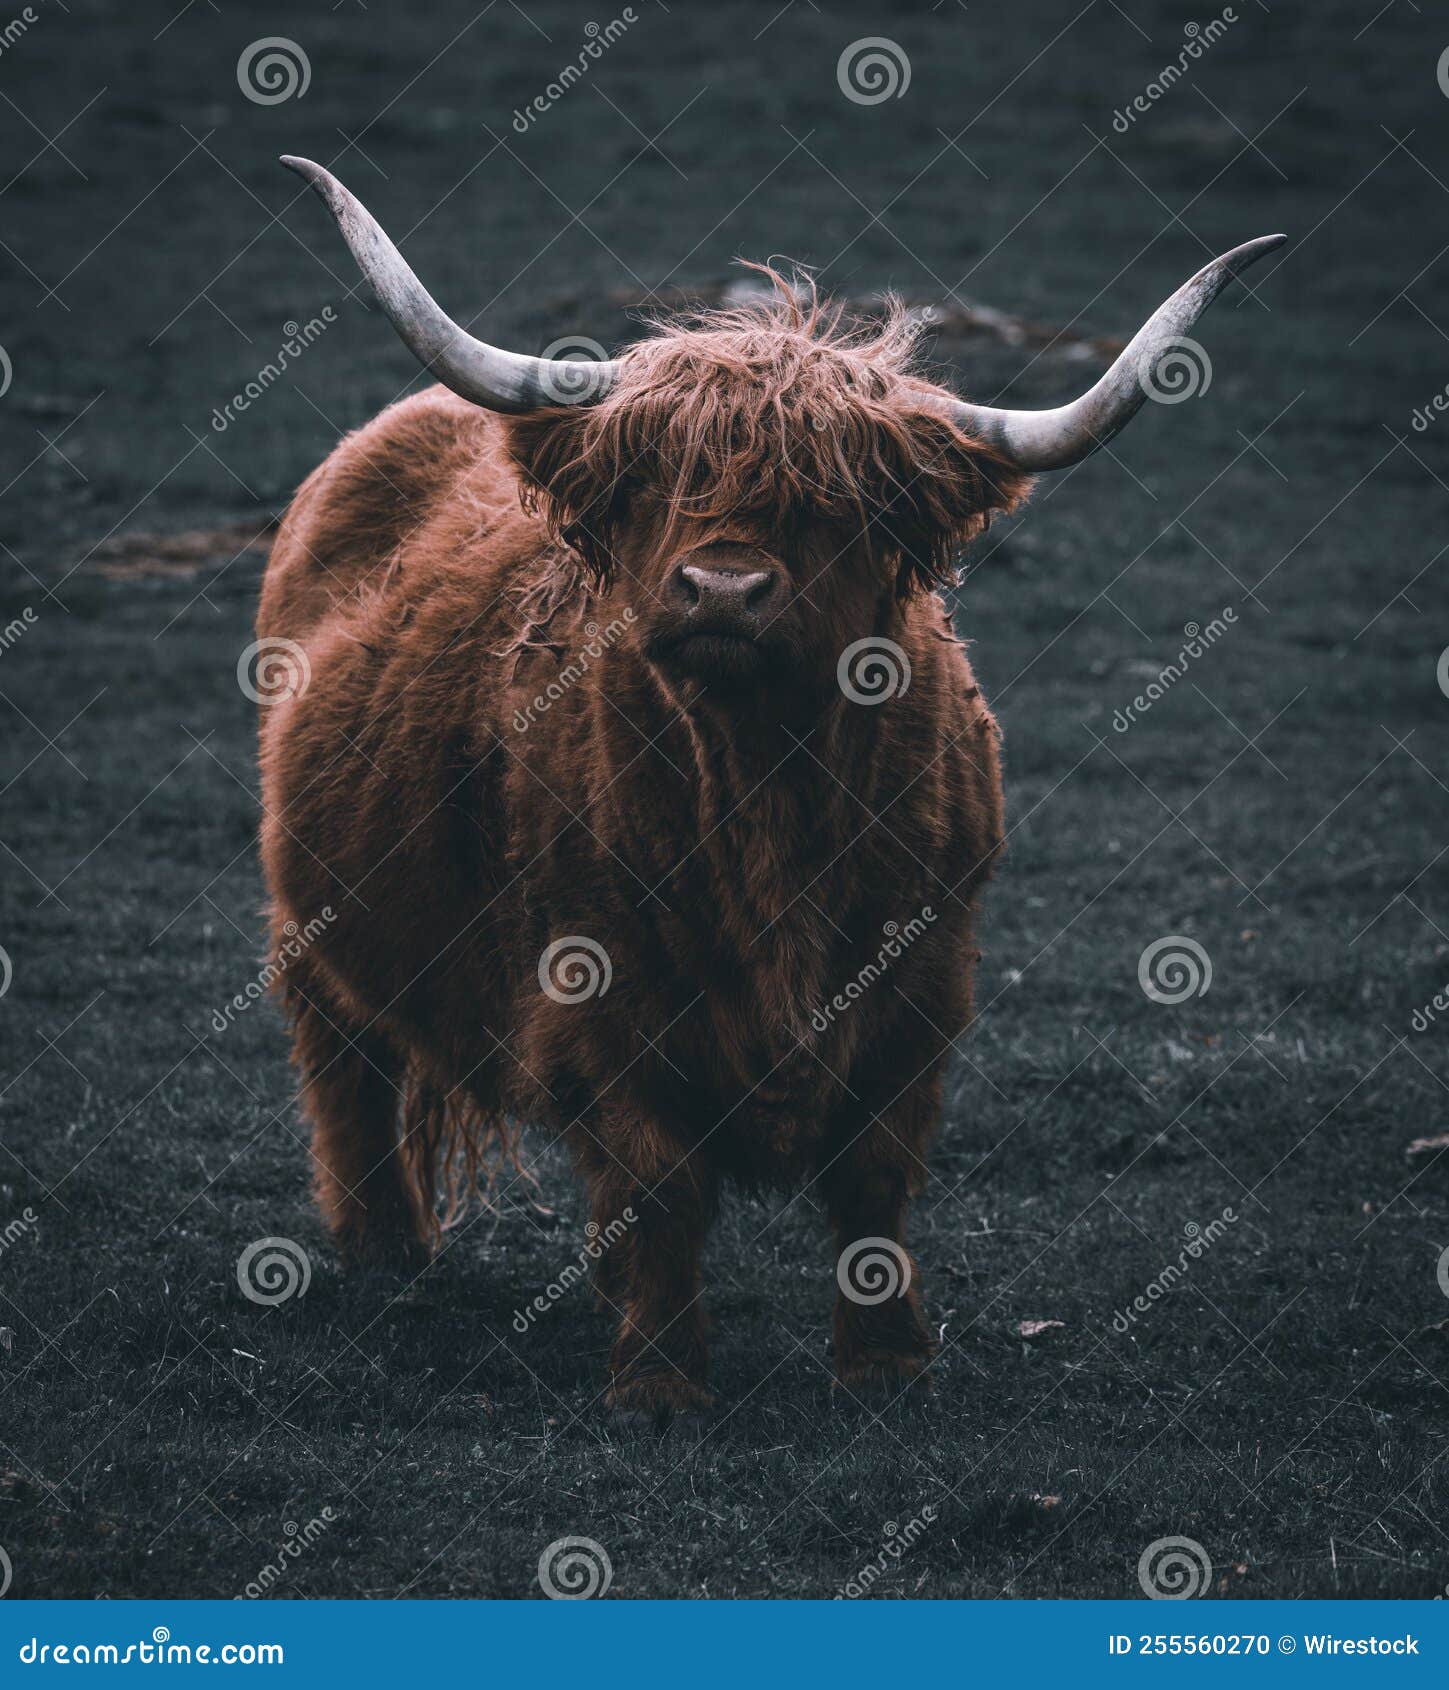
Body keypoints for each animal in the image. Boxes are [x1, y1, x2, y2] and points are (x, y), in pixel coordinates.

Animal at [258, 156, 1280, 1423]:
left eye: (837, 502)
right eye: (655, 484)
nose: (723, 590)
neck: (768, 800)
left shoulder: (923, 979)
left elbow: (875, 1173)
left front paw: (887, 1359)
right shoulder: (599, 990)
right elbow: (656, 1183)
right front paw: (657, 1381)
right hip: (312, 912)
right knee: (340, 1048)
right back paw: (384, 1244)